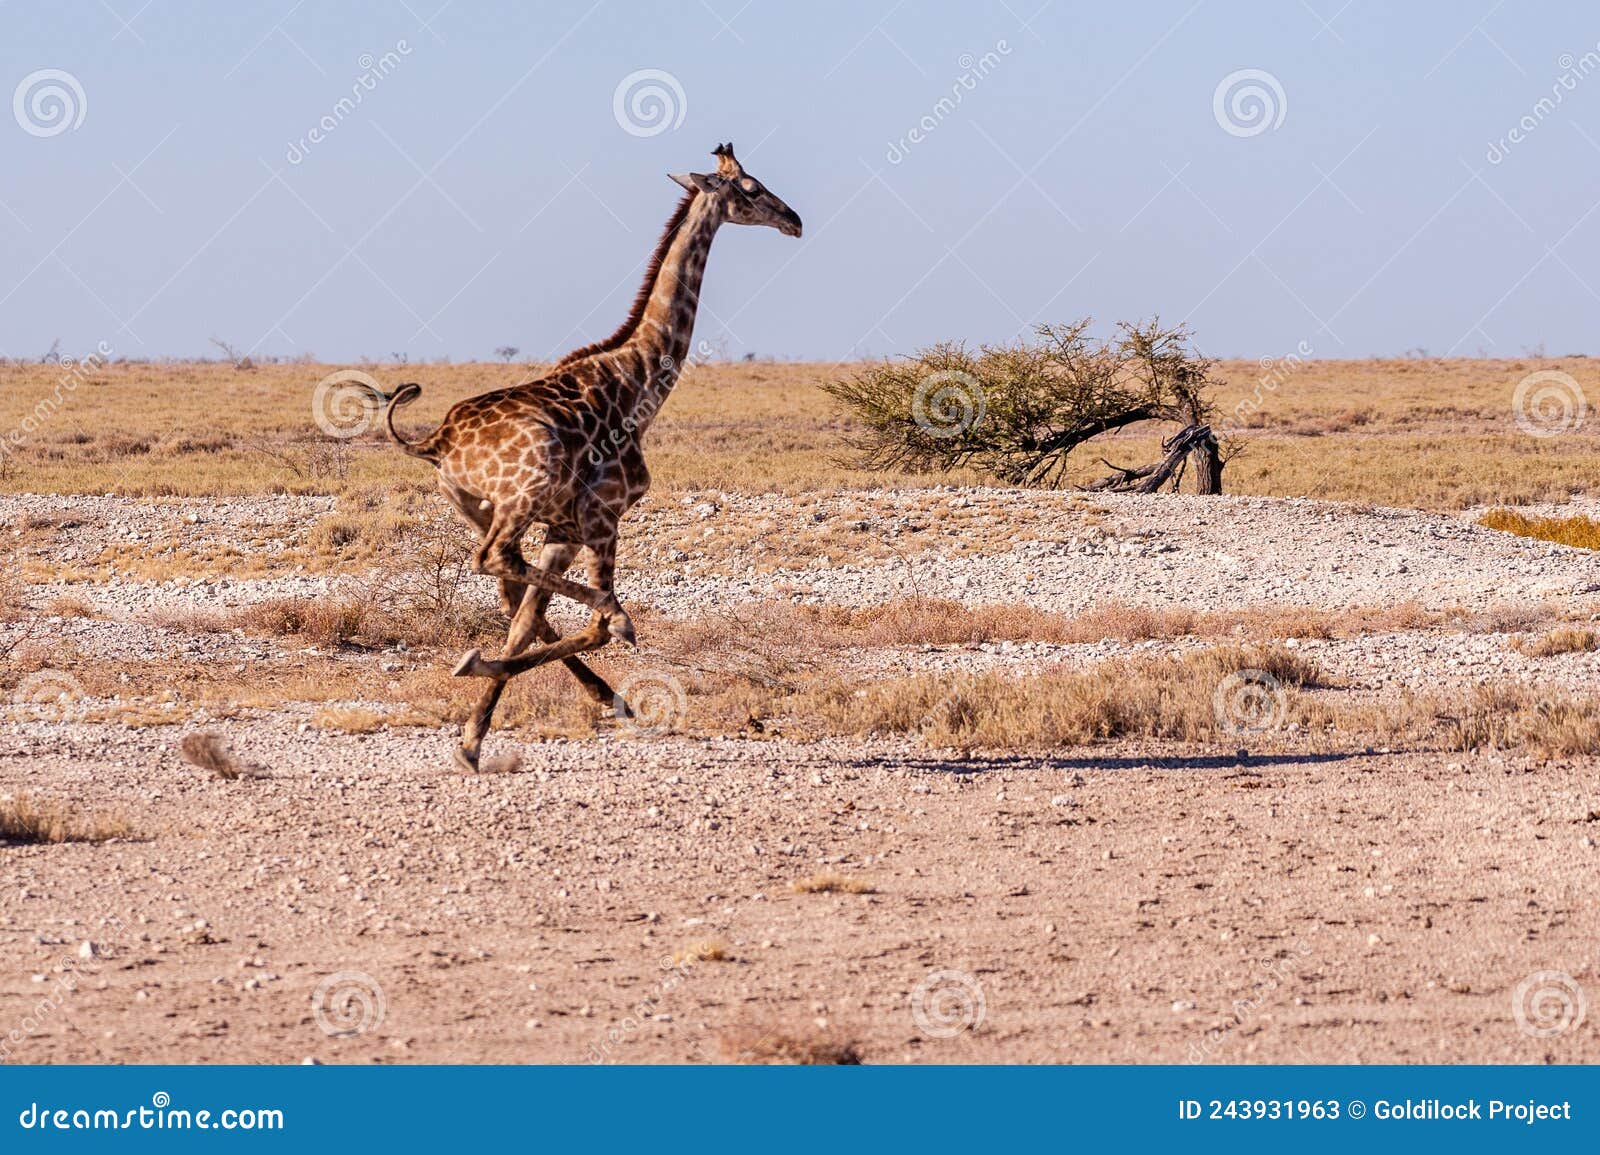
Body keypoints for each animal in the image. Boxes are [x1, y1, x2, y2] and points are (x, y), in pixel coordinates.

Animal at [369, 143, 801, 770]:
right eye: (750, 187)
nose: (794, 220)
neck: (640, 380)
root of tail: (438, 442)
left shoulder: (564, 528)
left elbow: (528, 620)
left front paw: (472, 738)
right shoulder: (603, 513)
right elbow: (595, 622)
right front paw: (616, 635)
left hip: (483, 507)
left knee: (511, 591)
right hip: (523, 491)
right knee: (495, 561)